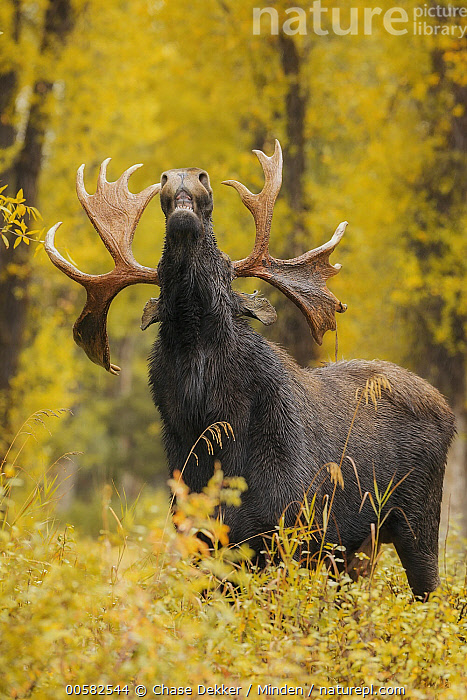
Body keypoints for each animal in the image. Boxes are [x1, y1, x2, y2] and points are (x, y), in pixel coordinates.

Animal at [45, 141, 455, 599]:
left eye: (225, 270)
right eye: (164, 277)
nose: (185, 176)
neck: (211, 426)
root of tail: (447, 411)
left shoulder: (289, 531)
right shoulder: (202, 539)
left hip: (417, 521)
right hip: (357, 549)